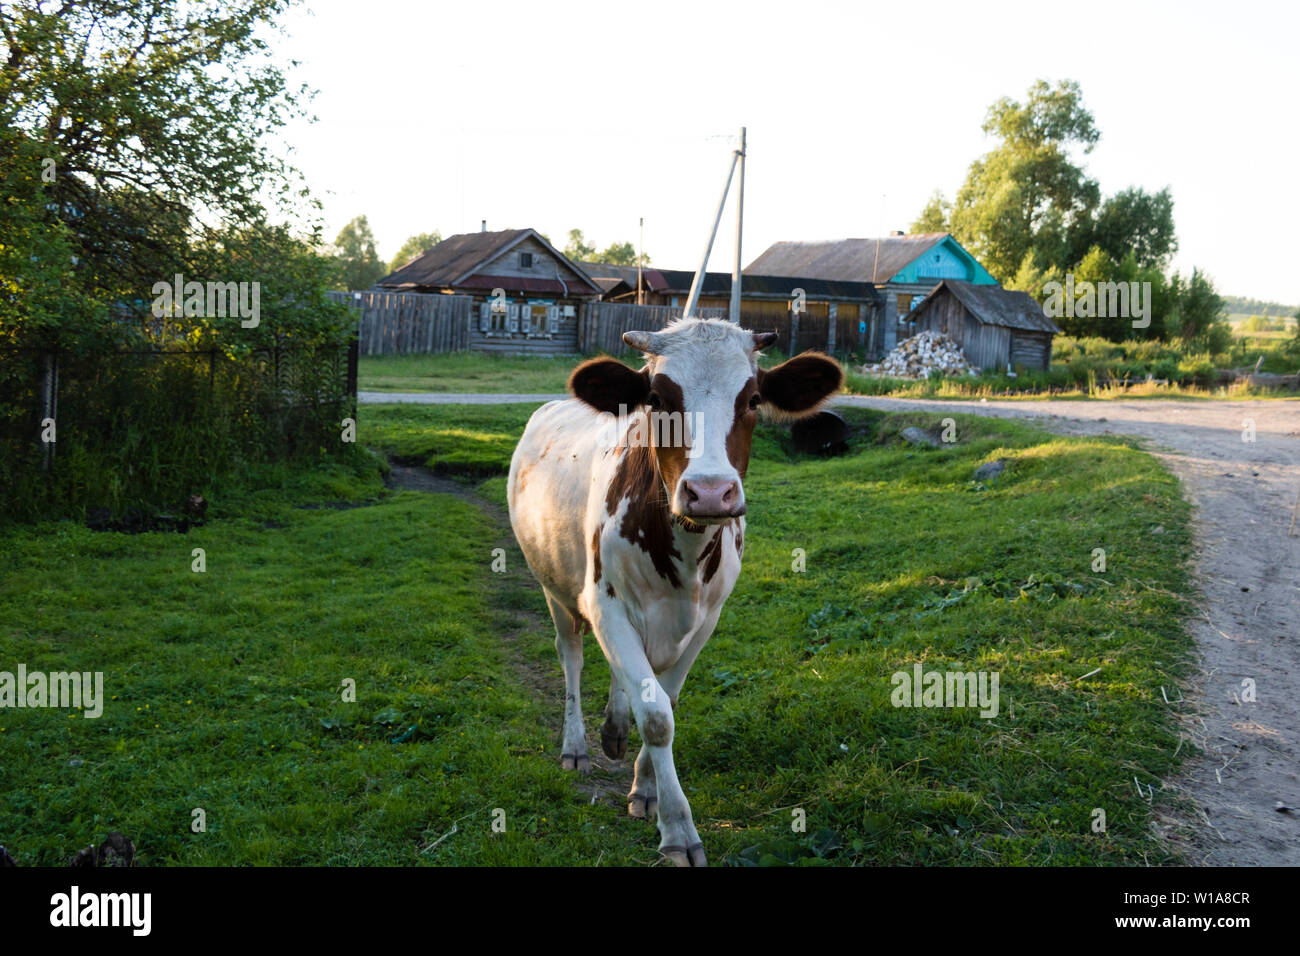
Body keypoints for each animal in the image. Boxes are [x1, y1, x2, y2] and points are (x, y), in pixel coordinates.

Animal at [507, 318, 842, 866]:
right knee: (571, 655)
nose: (709, 492)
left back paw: (614, 728)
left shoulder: (708, 618)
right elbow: (657, 716)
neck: (683, 557)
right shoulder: (604, 606)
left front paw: (645, 788)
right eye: (657, 398)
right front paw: (679, 829)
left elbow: (665, 698)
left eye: (753, 399)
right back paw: (576, 744)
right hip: (554, 587)